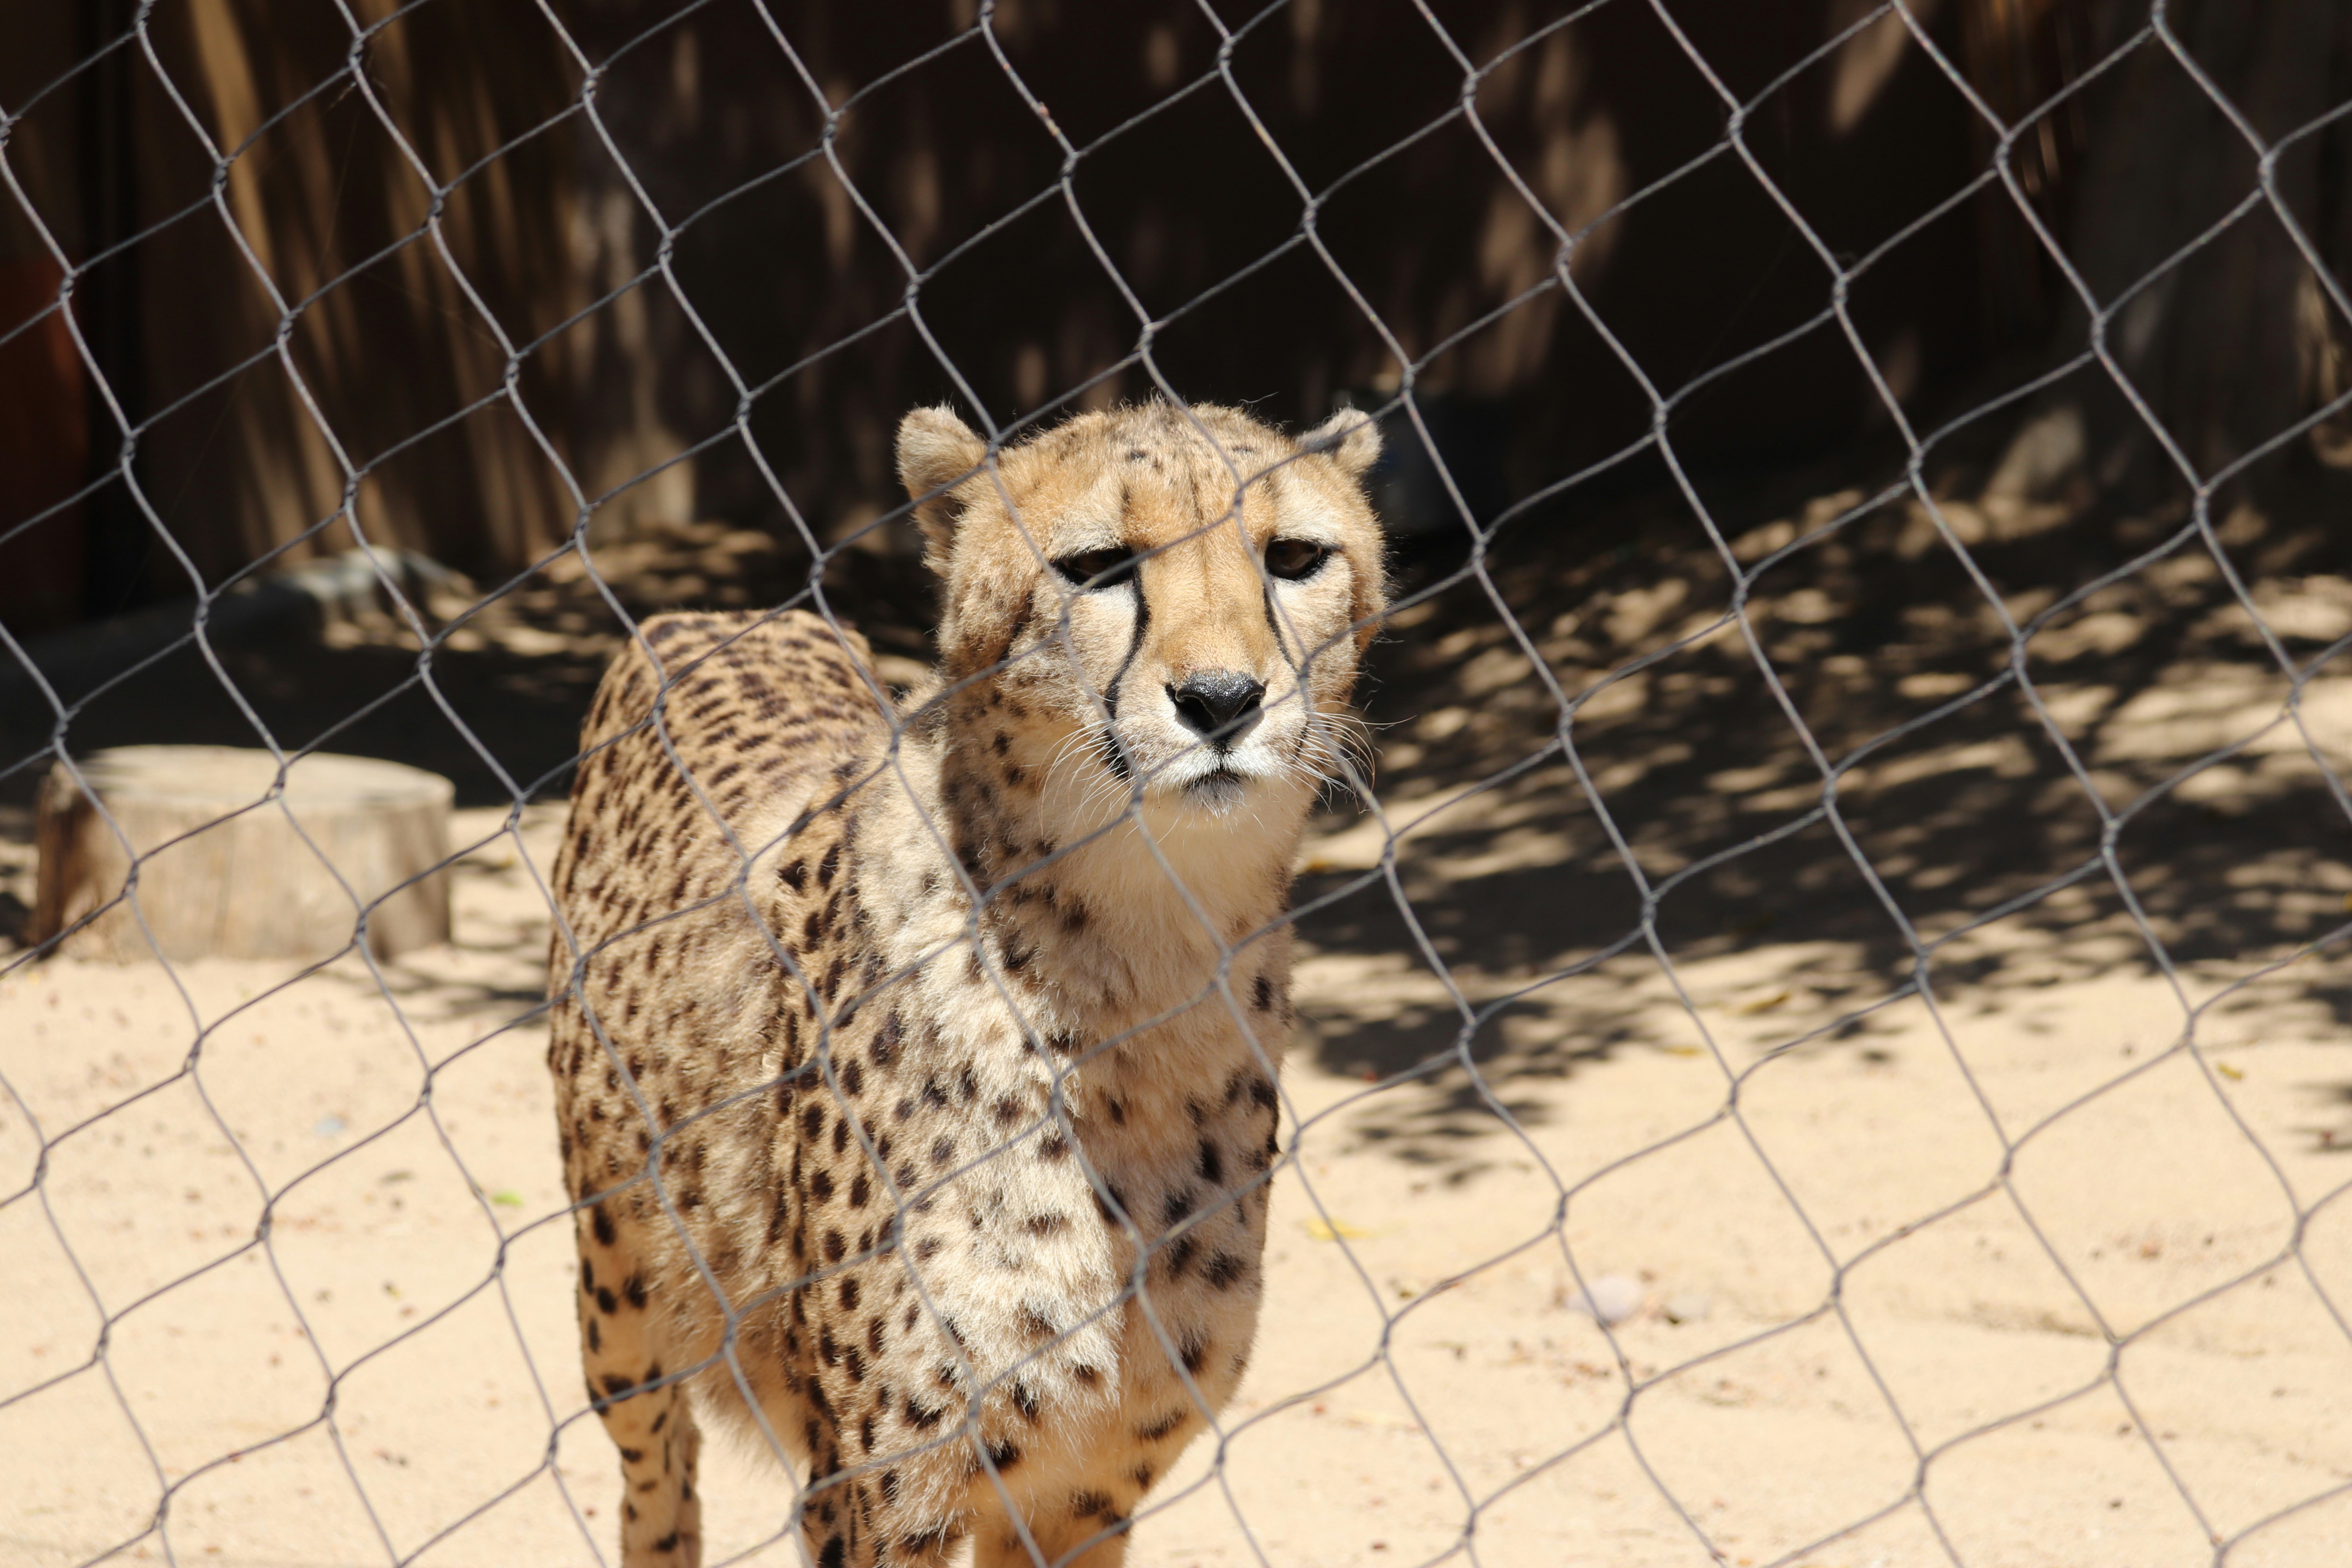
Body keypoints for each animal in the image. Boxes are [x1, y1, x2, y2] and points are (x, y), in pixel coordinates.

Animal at [544, 397, 1386, 1568]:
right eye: (1098, 566)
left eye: (1296, 557)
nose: (1222, 701)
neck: (1145, 960)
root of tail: (715, 612)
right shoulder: (881, 1492)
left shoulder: (1087, 1492)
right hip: (620, 1296)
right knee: (655, 1480)